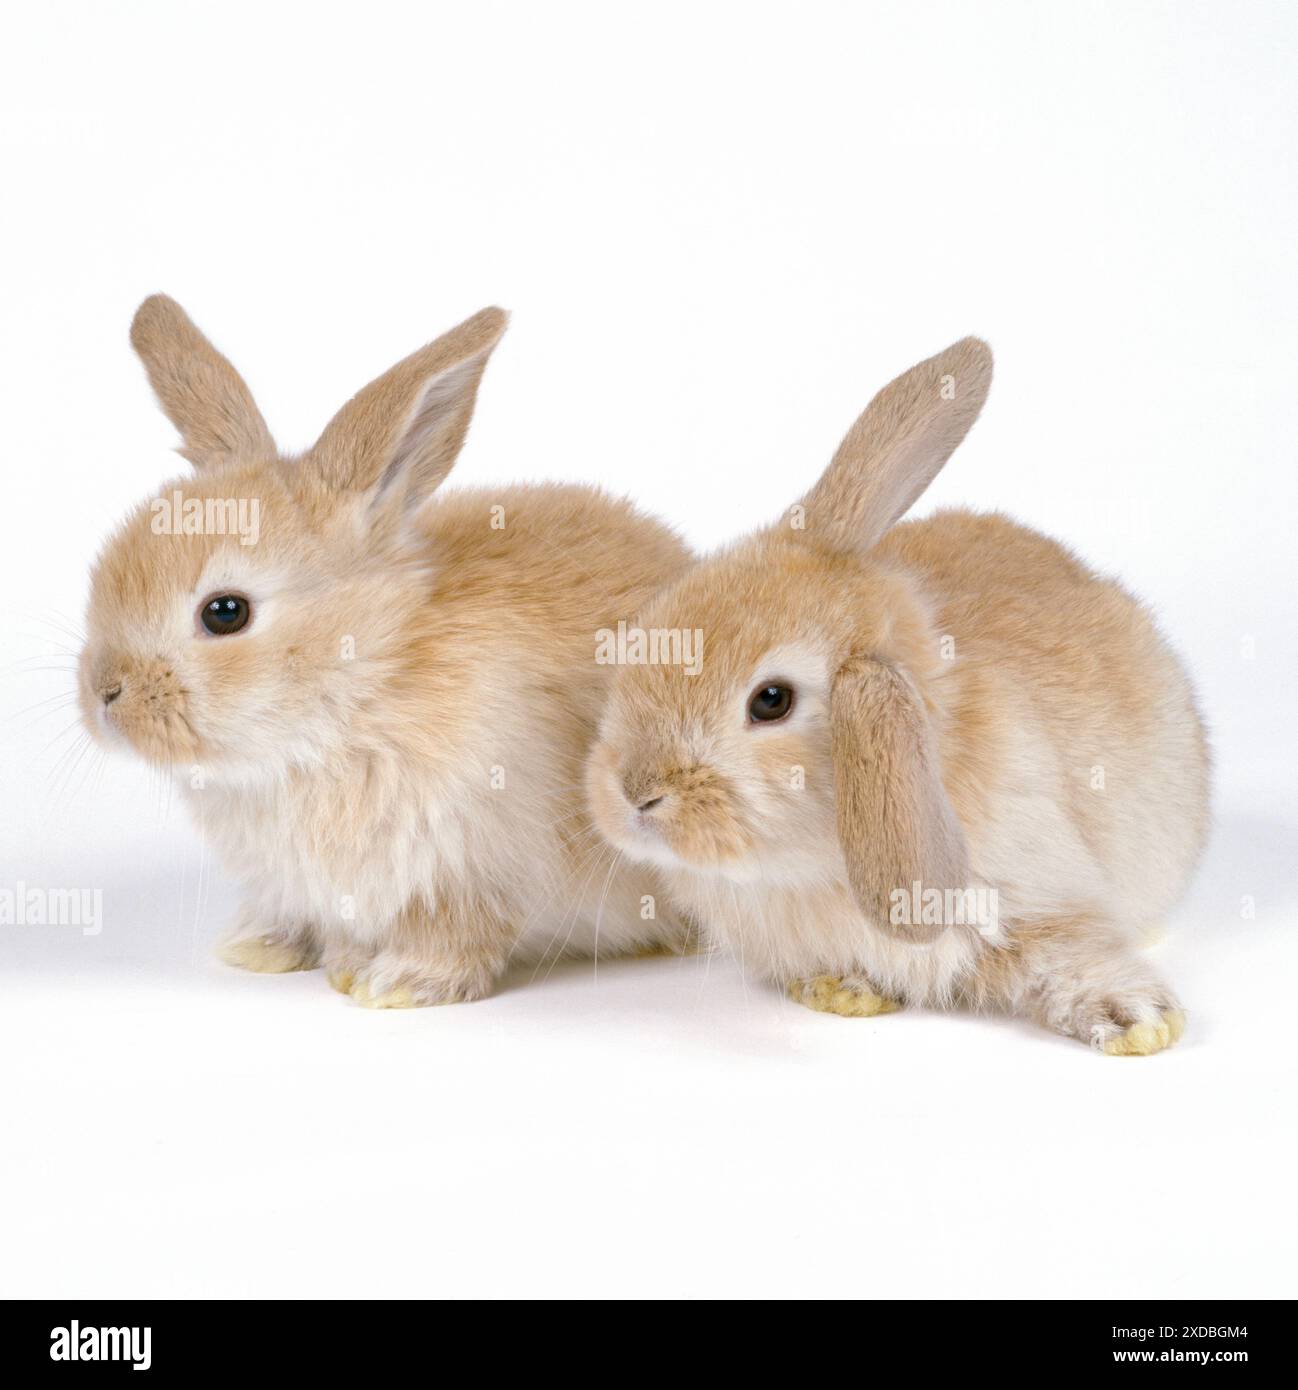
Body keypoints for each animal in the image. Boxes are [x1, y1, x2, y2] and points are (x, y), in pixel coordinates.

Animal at [79, 295, 695, 1006]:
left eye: (225, 612)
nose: (104, 697)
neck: (366, 676)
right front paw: (270, 951)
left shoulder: (474, 865)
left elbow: (457, 934)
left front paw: (393, 985)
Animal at [586, 336, 1210, 1054]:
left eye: (771, 701)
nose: (633, 794)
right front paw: (844, 993)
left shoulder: (1042, 903)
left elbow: (1069, 959)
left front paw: (1140, 1023)